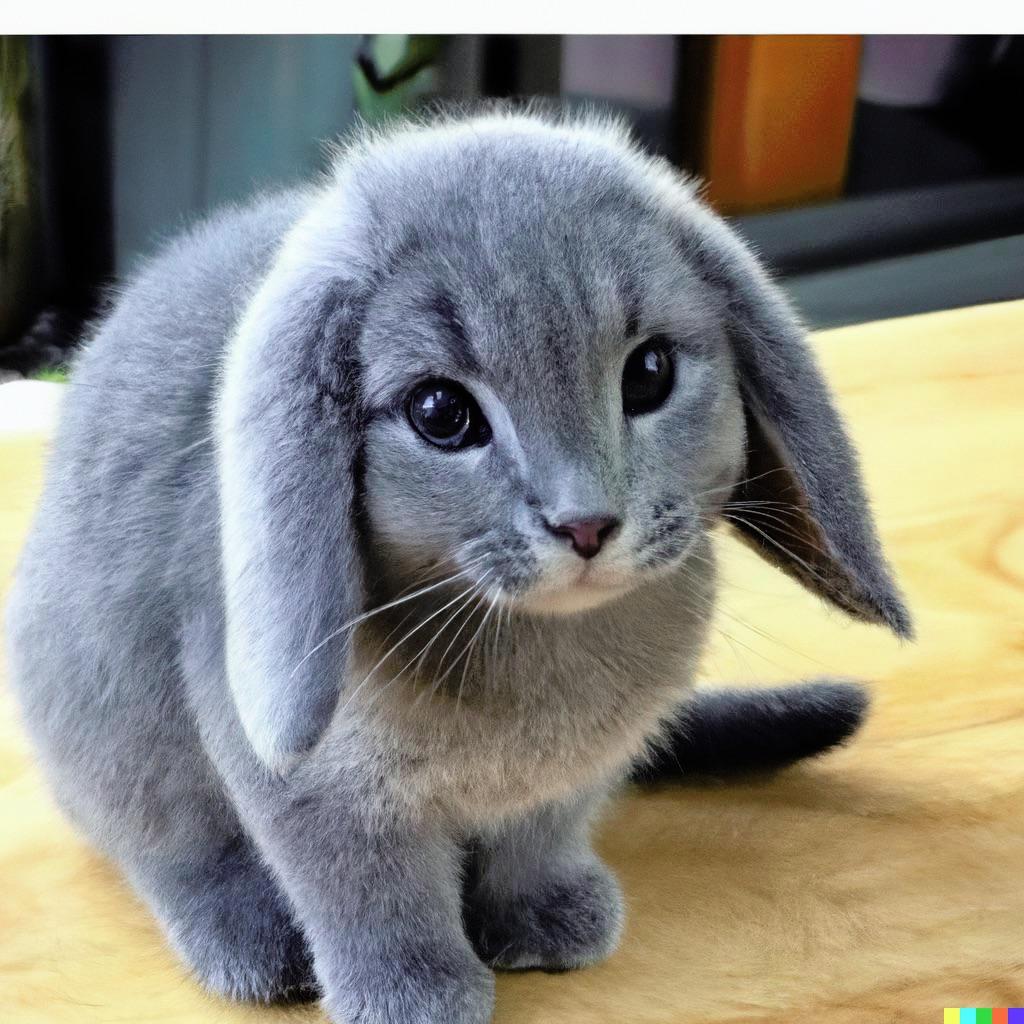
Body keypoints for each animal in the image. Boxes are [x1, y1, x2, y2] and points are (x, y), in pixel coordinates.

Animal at [4, 108, 910, 1024]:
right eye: (441, 414)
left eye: (651, 372)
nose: (586, 523)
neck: (536, 649)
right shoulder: (316, 799)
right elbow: (372, 899)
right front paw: (415, 996)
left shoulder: (569, 782)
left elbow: (538, 844)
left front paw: (549, 924)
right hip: (111, 733)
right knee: (168, 851)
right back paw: (250, 943)